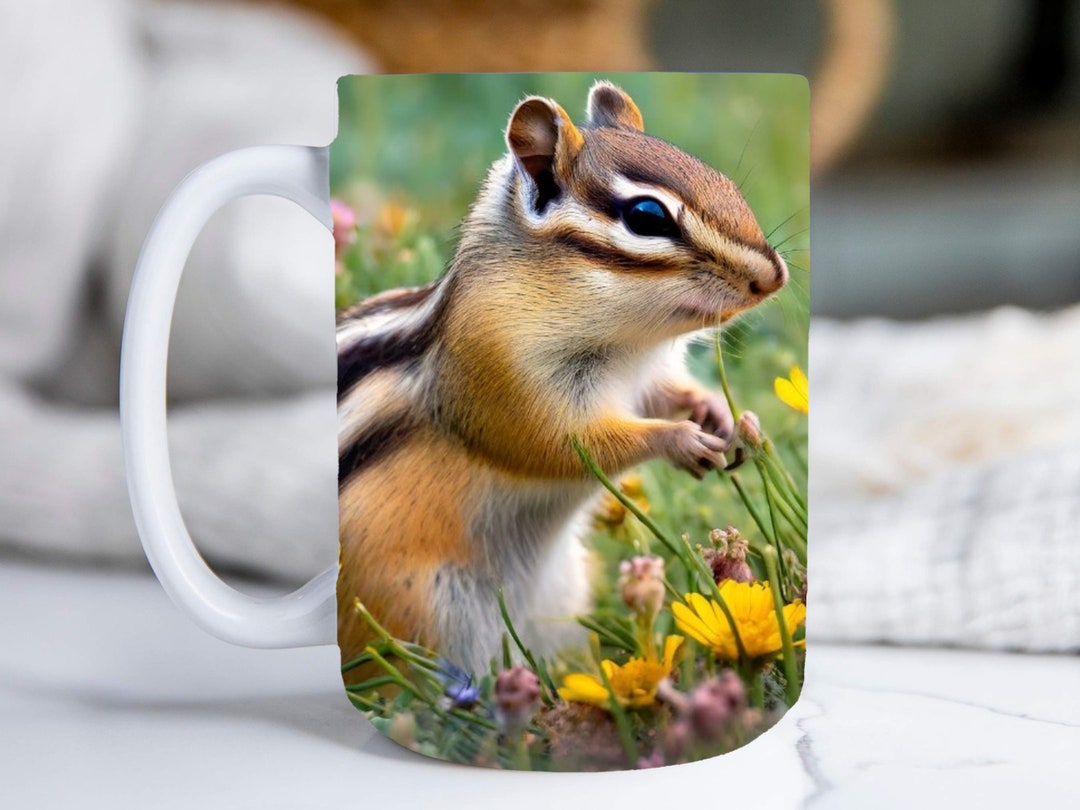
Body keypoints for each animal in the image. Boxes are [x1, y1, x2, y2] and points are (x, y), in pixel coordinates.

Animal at [336, 82, 787, 675]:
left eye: (724, 182)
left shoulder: (644, 377)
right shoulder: (499, 373)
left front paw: (717, 412)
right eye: (647, 216)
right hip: (420, 613)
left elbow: (663, 395)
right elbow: (555, 445)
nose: (773, 276)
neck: (627, 344)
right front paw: (680, 440)